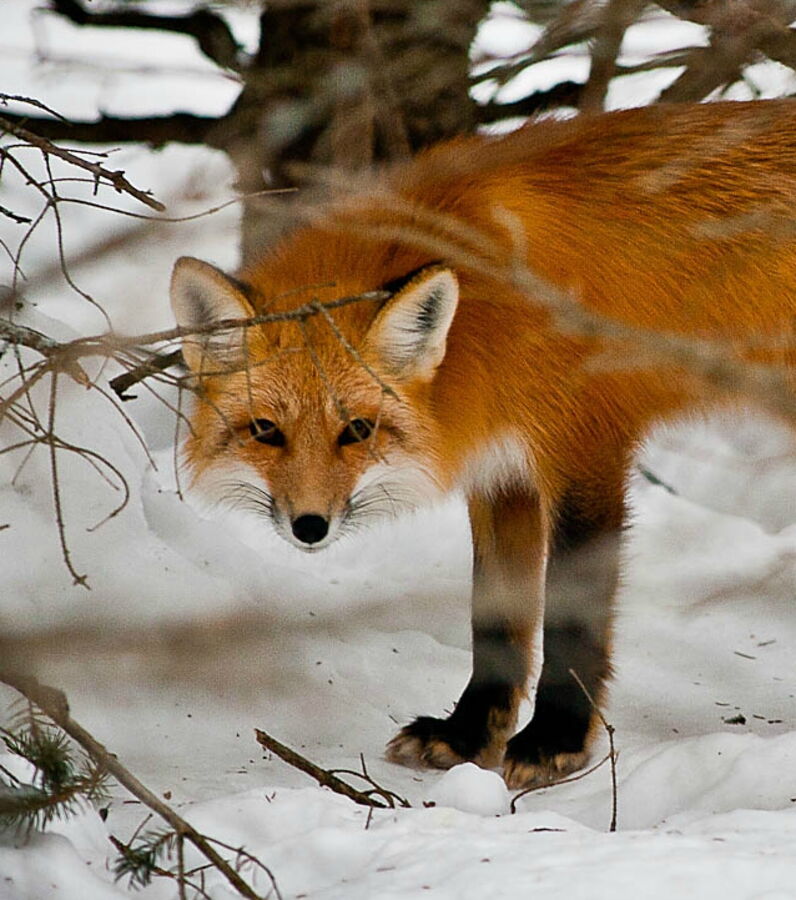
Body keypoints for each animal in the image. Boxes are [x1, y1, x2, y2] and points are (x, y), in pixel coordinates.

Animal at [170, 100, 796, 789]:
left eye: (356, 430)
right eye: (266, 431)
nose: (310, 526)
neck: (489, 312)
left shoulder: (586, 451)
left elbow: (570, 613)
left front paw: (554, 739)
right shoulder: (501, 471)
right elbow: (495, 619)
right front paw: (468, 734)